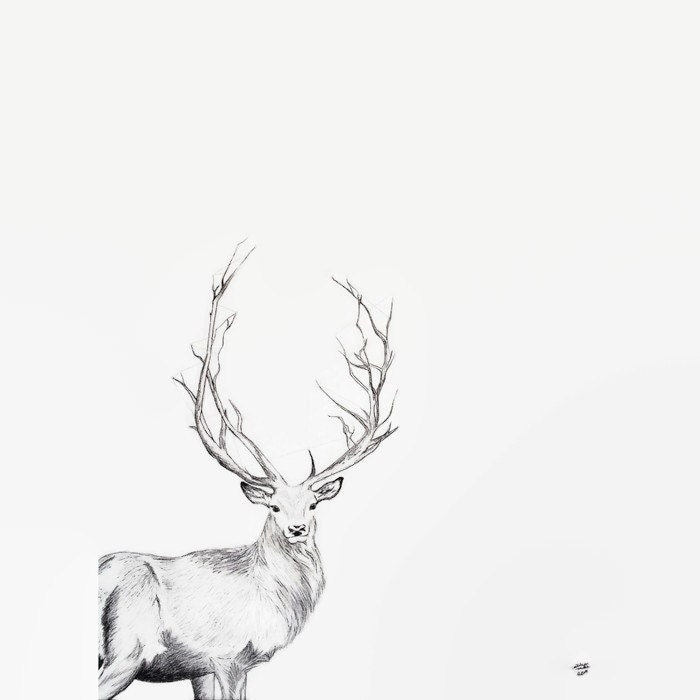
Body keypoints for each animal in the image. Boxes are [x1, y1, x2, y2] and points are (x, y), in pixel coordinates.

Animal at [98, 244, 397, 700]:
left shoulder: (199, 668)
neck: (269, 601)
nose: (297, 528)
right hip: (124, 651)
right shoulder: (230, 656)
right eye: (273, 507)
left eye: (313, 504)